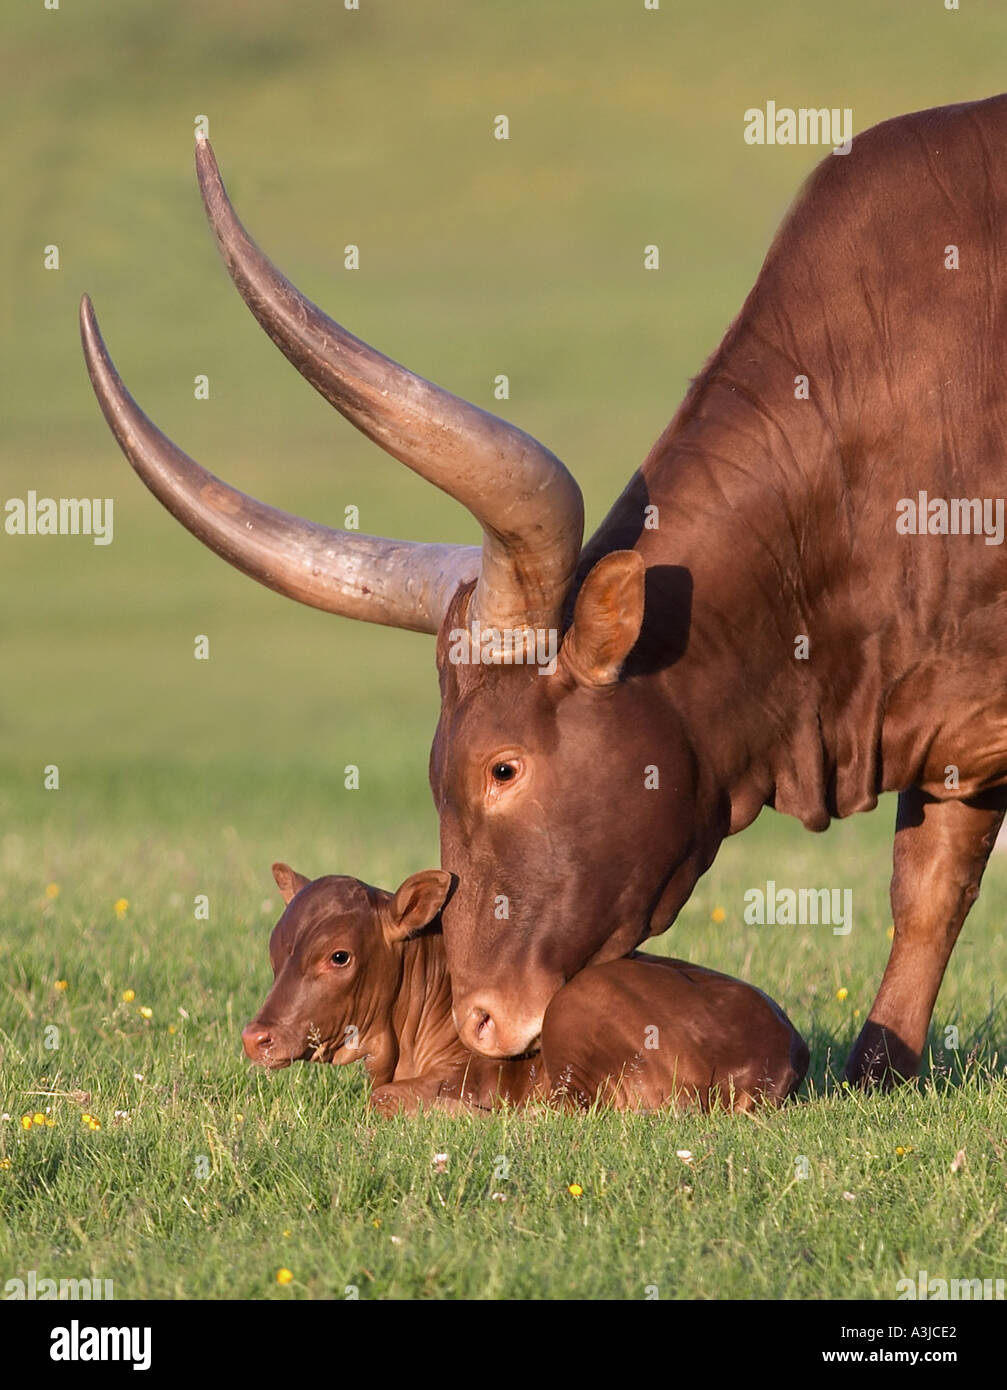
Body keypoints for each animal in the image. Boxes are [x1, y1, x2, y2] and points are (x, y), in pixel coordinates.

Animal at [242, 864, 808, 1114]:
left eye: (338, 956)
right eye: (274, 951)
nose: (256, 1037)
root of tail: (782, 1048)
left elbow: (383, 1100)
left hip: (579, 1007)